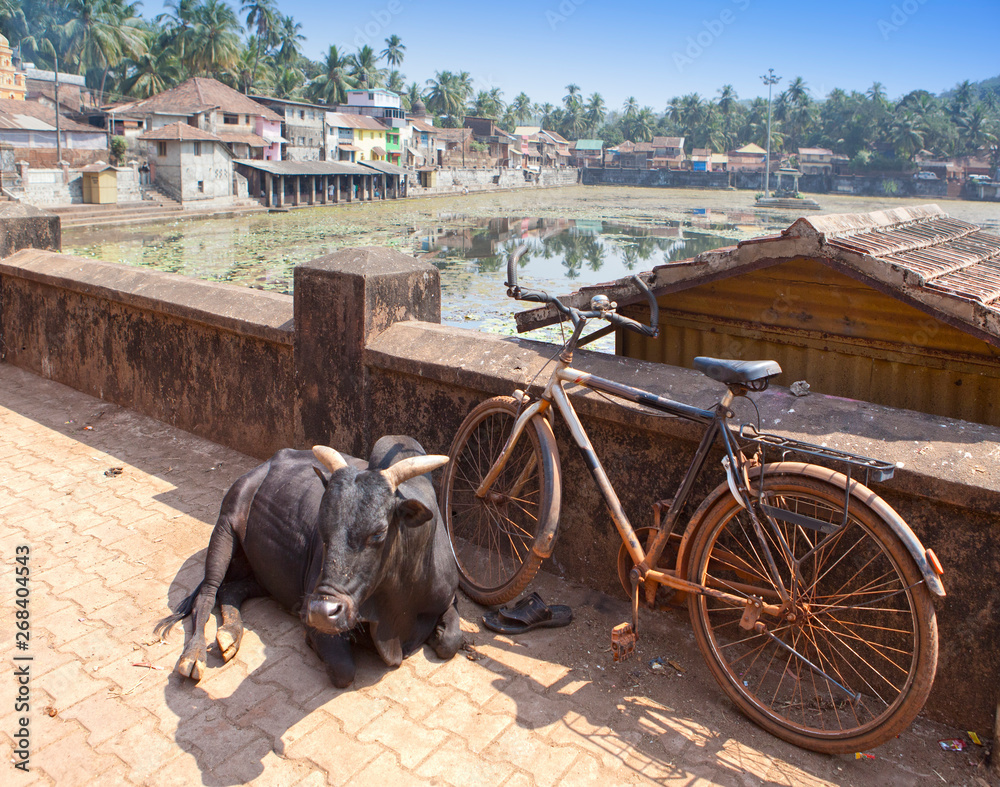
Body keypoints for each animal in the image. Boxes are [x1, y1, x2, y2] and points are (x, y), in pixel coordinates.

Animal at [155, 436, 463, 688]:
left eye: (378, 532)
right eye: (322, 527)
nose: (321, 611)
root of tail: (261, 466)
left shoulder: (447, 597)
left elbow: (451, 642)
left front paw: (441, 635)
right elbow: (342, 669)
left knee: (231, 590)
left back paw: (230, 632)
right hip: (224, 528)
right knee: (207, 595)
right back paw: (193, 656)